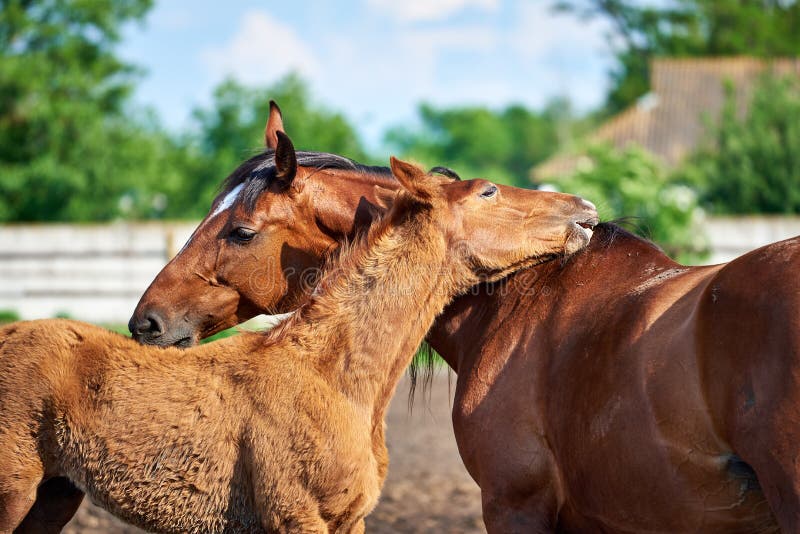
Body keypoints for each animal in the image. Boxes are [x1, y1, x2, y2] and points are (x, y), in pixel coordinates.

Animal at [0, 135, 597, 533]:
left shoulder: (350, 519)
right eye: (488, 192)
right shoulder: (297, 517)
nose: (584, 209)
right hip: (14, 494)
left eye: (239, 228)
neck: (328, 375)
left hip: (52, 498)